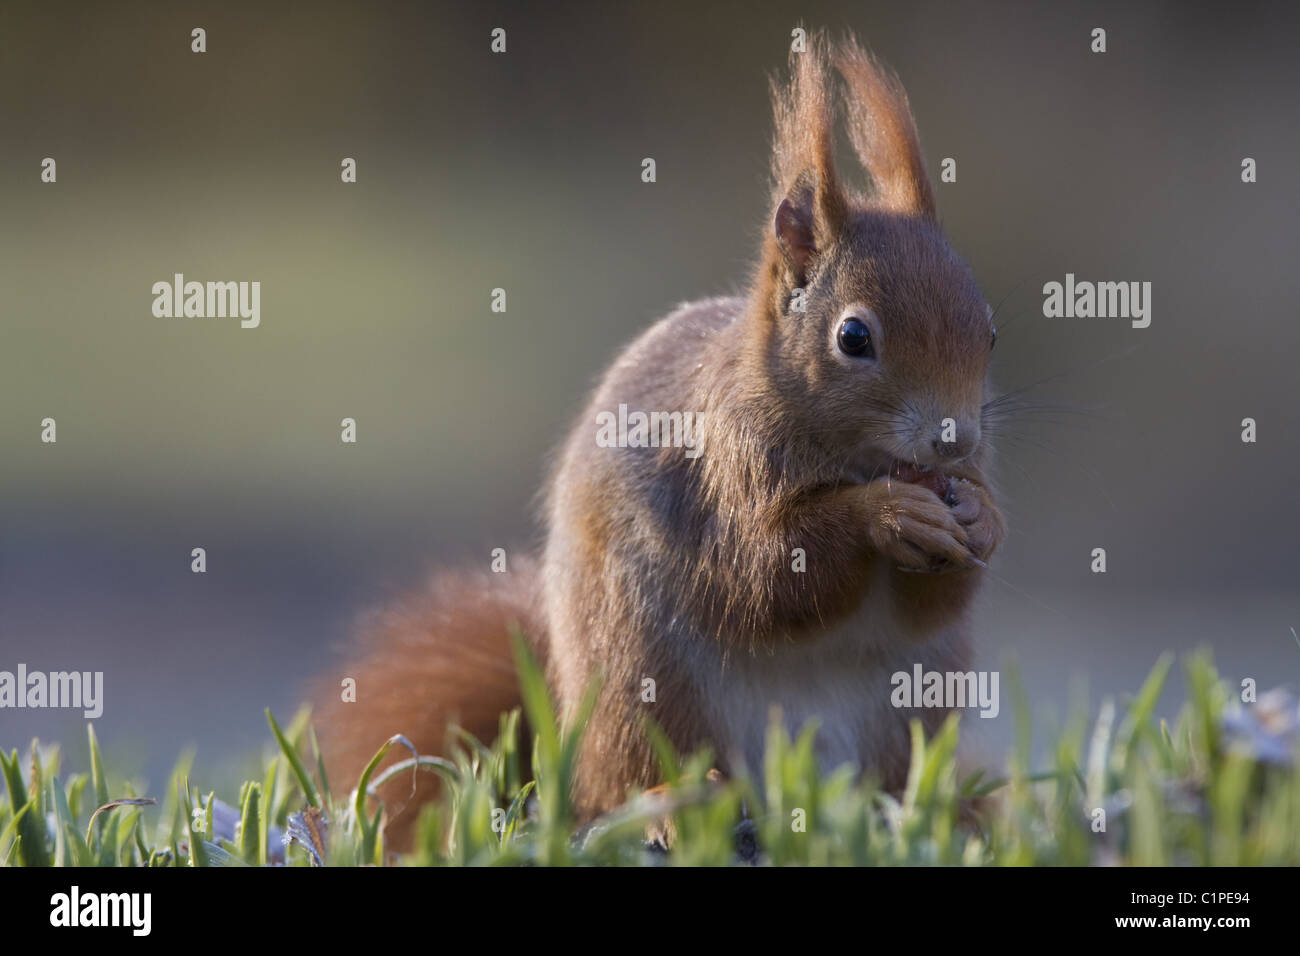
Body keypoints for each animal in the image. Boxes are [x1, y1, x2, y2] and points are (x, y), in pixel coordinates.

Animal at [312, 34, 1006, 848]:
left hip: (915, 701)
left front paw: (982, 517)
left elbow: (933, 601)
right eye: (853, 337)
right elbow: (766, 574)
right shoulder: (720, 473)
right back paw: (680, 801)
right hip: (641, 677)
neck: (857, 456)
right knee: (621, 783)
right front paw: (888, 514)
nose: (954, 441)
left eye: (990, 330)